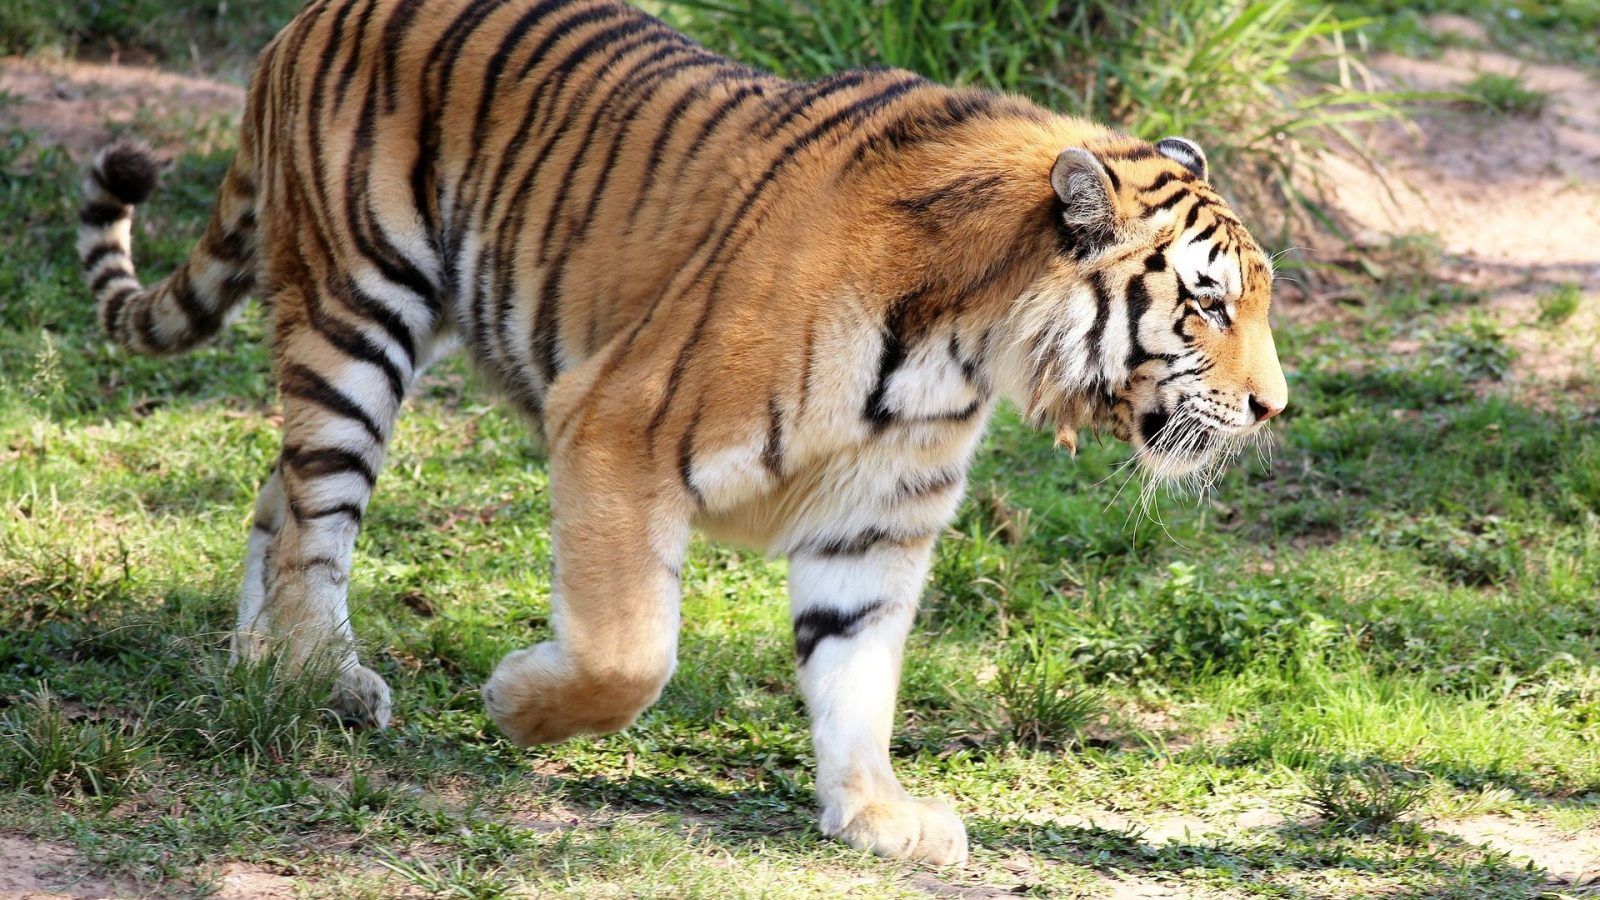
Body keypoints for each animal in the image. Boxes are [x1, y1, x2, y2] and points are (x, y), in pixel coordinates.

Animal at [75, 0, 1287, 865]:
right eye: (1208, 304)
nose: (1276, 407)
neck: (965, 345)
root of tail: (301, 21)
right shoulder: (616, 428)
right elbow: (631, 655)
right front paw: (517, 705)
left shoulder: (876, 521)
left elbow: (857, 672)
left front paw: (875, 815)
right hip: (356, 316)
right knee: (316, 515)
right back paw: (321, 675)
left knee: (275, 494)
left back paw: (264, 668)